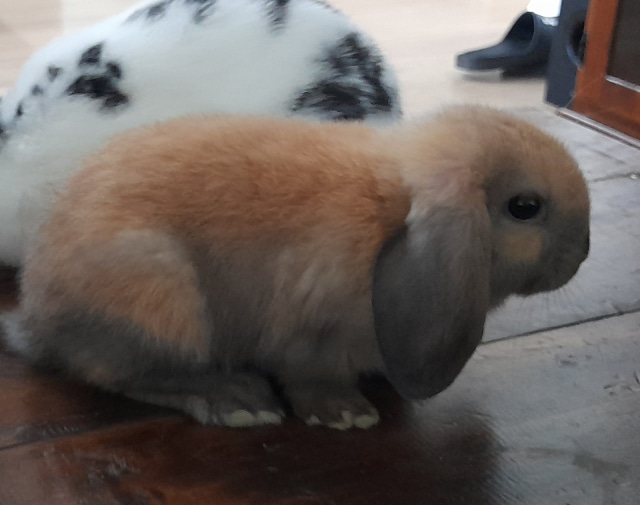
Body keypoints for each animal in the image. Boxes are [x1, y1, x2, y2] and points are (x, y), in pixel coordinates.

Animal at [2, 105, 590, 430]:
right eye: (524, 207)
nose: (583, 251)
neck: (392, 213)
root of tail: (37, 321)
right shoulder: (311, 334)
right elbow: (310, 376)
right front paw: (345, 414)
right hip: (158, 292)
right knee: (122, 372)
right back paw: (236, 400)